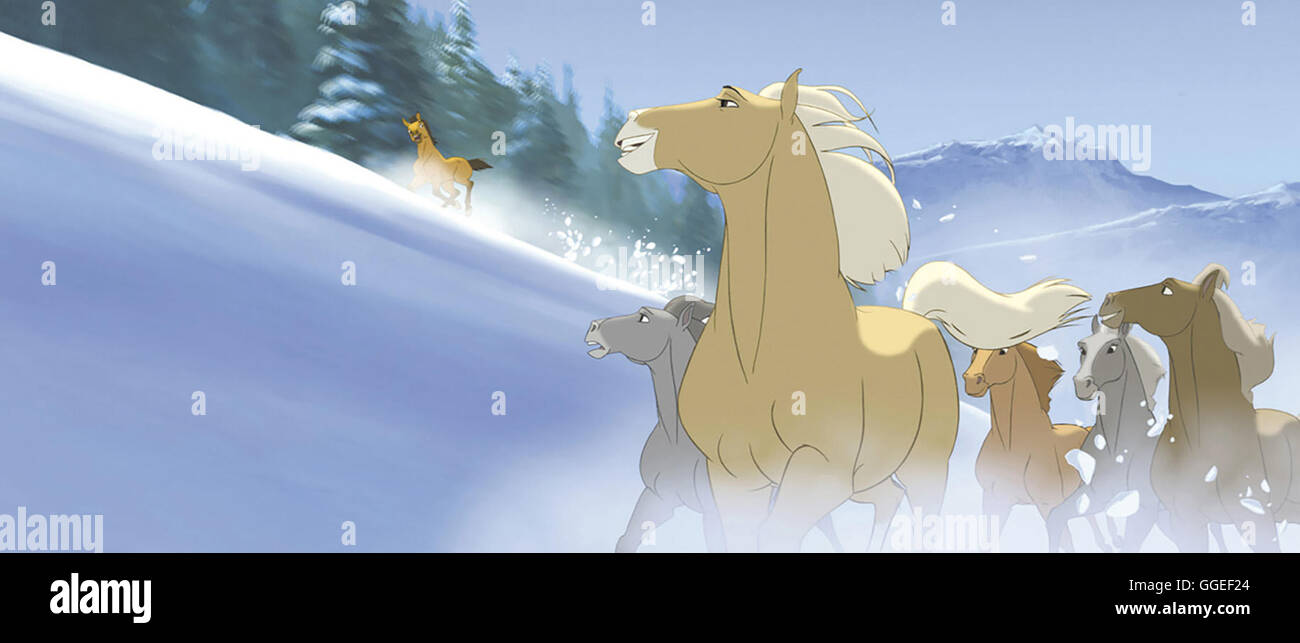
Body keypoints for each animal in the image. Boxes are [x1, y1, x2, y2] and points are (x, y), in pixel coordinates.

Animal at [586, 296, 843, 552]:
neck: (678, 442)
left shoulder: (715, 514)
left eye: (644, 317)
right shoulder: (658, 498)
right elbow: (627, 539)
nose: (593, 328)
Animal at [615, 70, 959, 552]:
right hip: (870, 477)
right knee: (888, 500)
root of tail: (924, 323)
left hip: (927, 468)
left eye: (728, 102)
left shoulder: (819, 476)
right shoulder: (734, 478)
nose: (632, 126)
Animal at [902, 261, 1091, 549]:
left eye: (1003, 351)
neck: (1013, 445)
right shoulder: (995, 501)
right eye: (973, 349)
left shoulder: (1048, 507)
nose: (972, 380)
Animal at [1044, 316, 1167, 552]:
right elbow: (1055, 518)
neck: (1115, 448)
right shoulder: (1094, 495)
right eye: (1082, 348)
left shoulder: (1143, 508)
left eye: (1112, 348)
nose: (1082, 384)